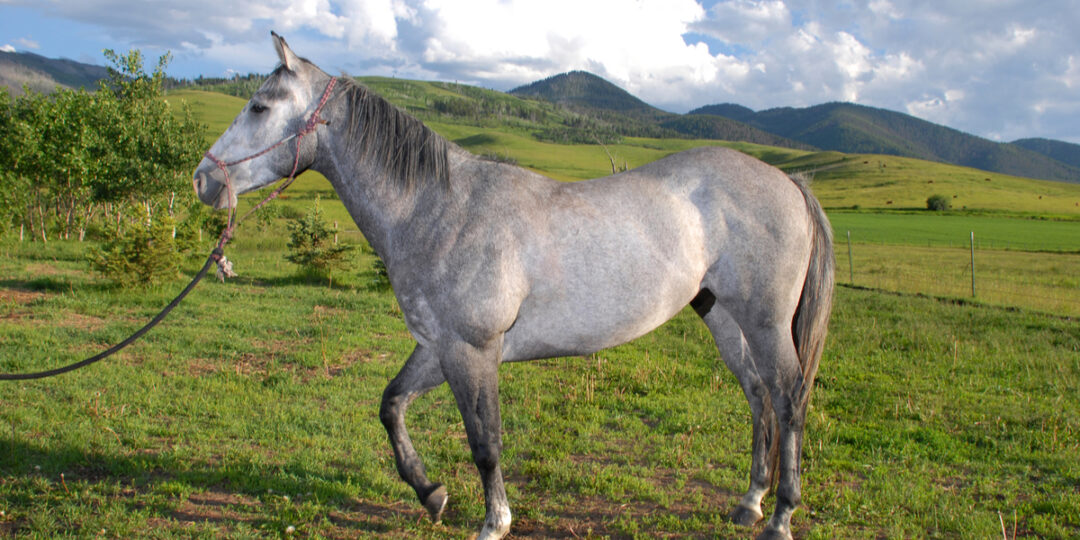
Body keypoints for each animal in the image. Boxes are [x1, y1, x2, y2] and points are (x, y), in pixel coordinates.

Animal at [193, 32, 834, 540]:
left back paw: (781, 516)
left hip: (767, 323)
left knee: (788, 399)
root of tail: (789, 180)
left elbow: (486, 441)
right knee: (758, 396)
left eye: (259, 105)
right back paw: (749, 504)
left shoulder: (473, 351)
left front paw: (493, 521)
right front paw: (431, 494)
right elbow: (392, 405)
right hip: (724, 318)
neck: (440, 209)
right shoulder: (439, 347)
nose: (203, 179)